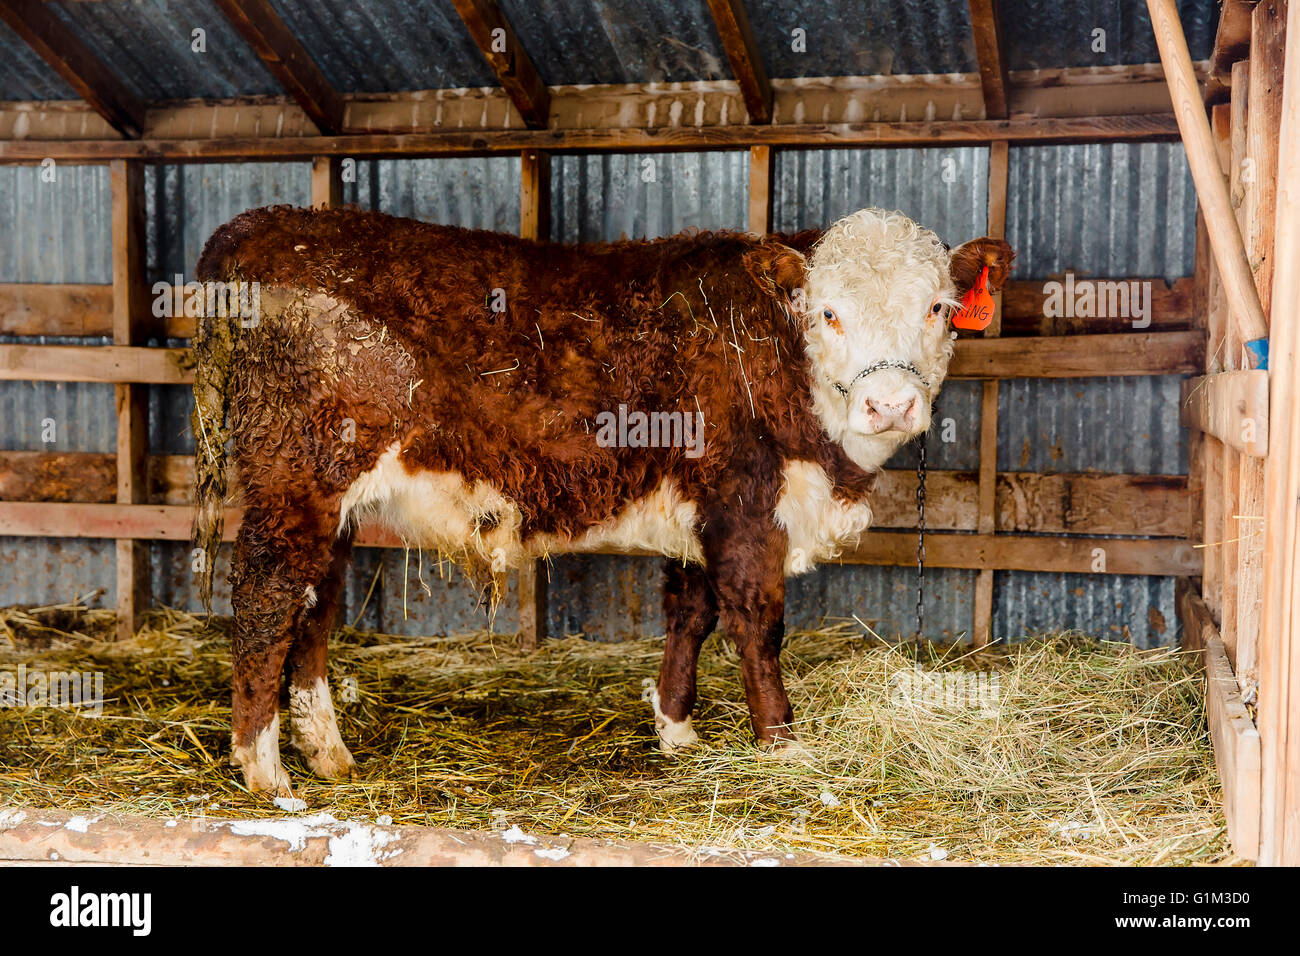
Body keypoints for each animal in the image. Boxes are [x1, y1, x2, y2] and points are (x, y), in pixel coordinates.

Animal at [192, 204, 1014, 795]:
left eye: (939, 307)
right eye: (828, 312)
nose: (890, 403)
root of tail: (260, 226)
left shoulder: (698, 510)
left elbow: (691, 614)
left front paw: (677, 730)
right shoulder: (746, 505)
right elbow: (757, 624)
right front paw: (781, 743)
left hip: (330, 506)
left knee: (315, 608)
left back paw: (328, 754)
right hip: (296, 479)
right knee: (267, 600)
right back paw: (264, 770)